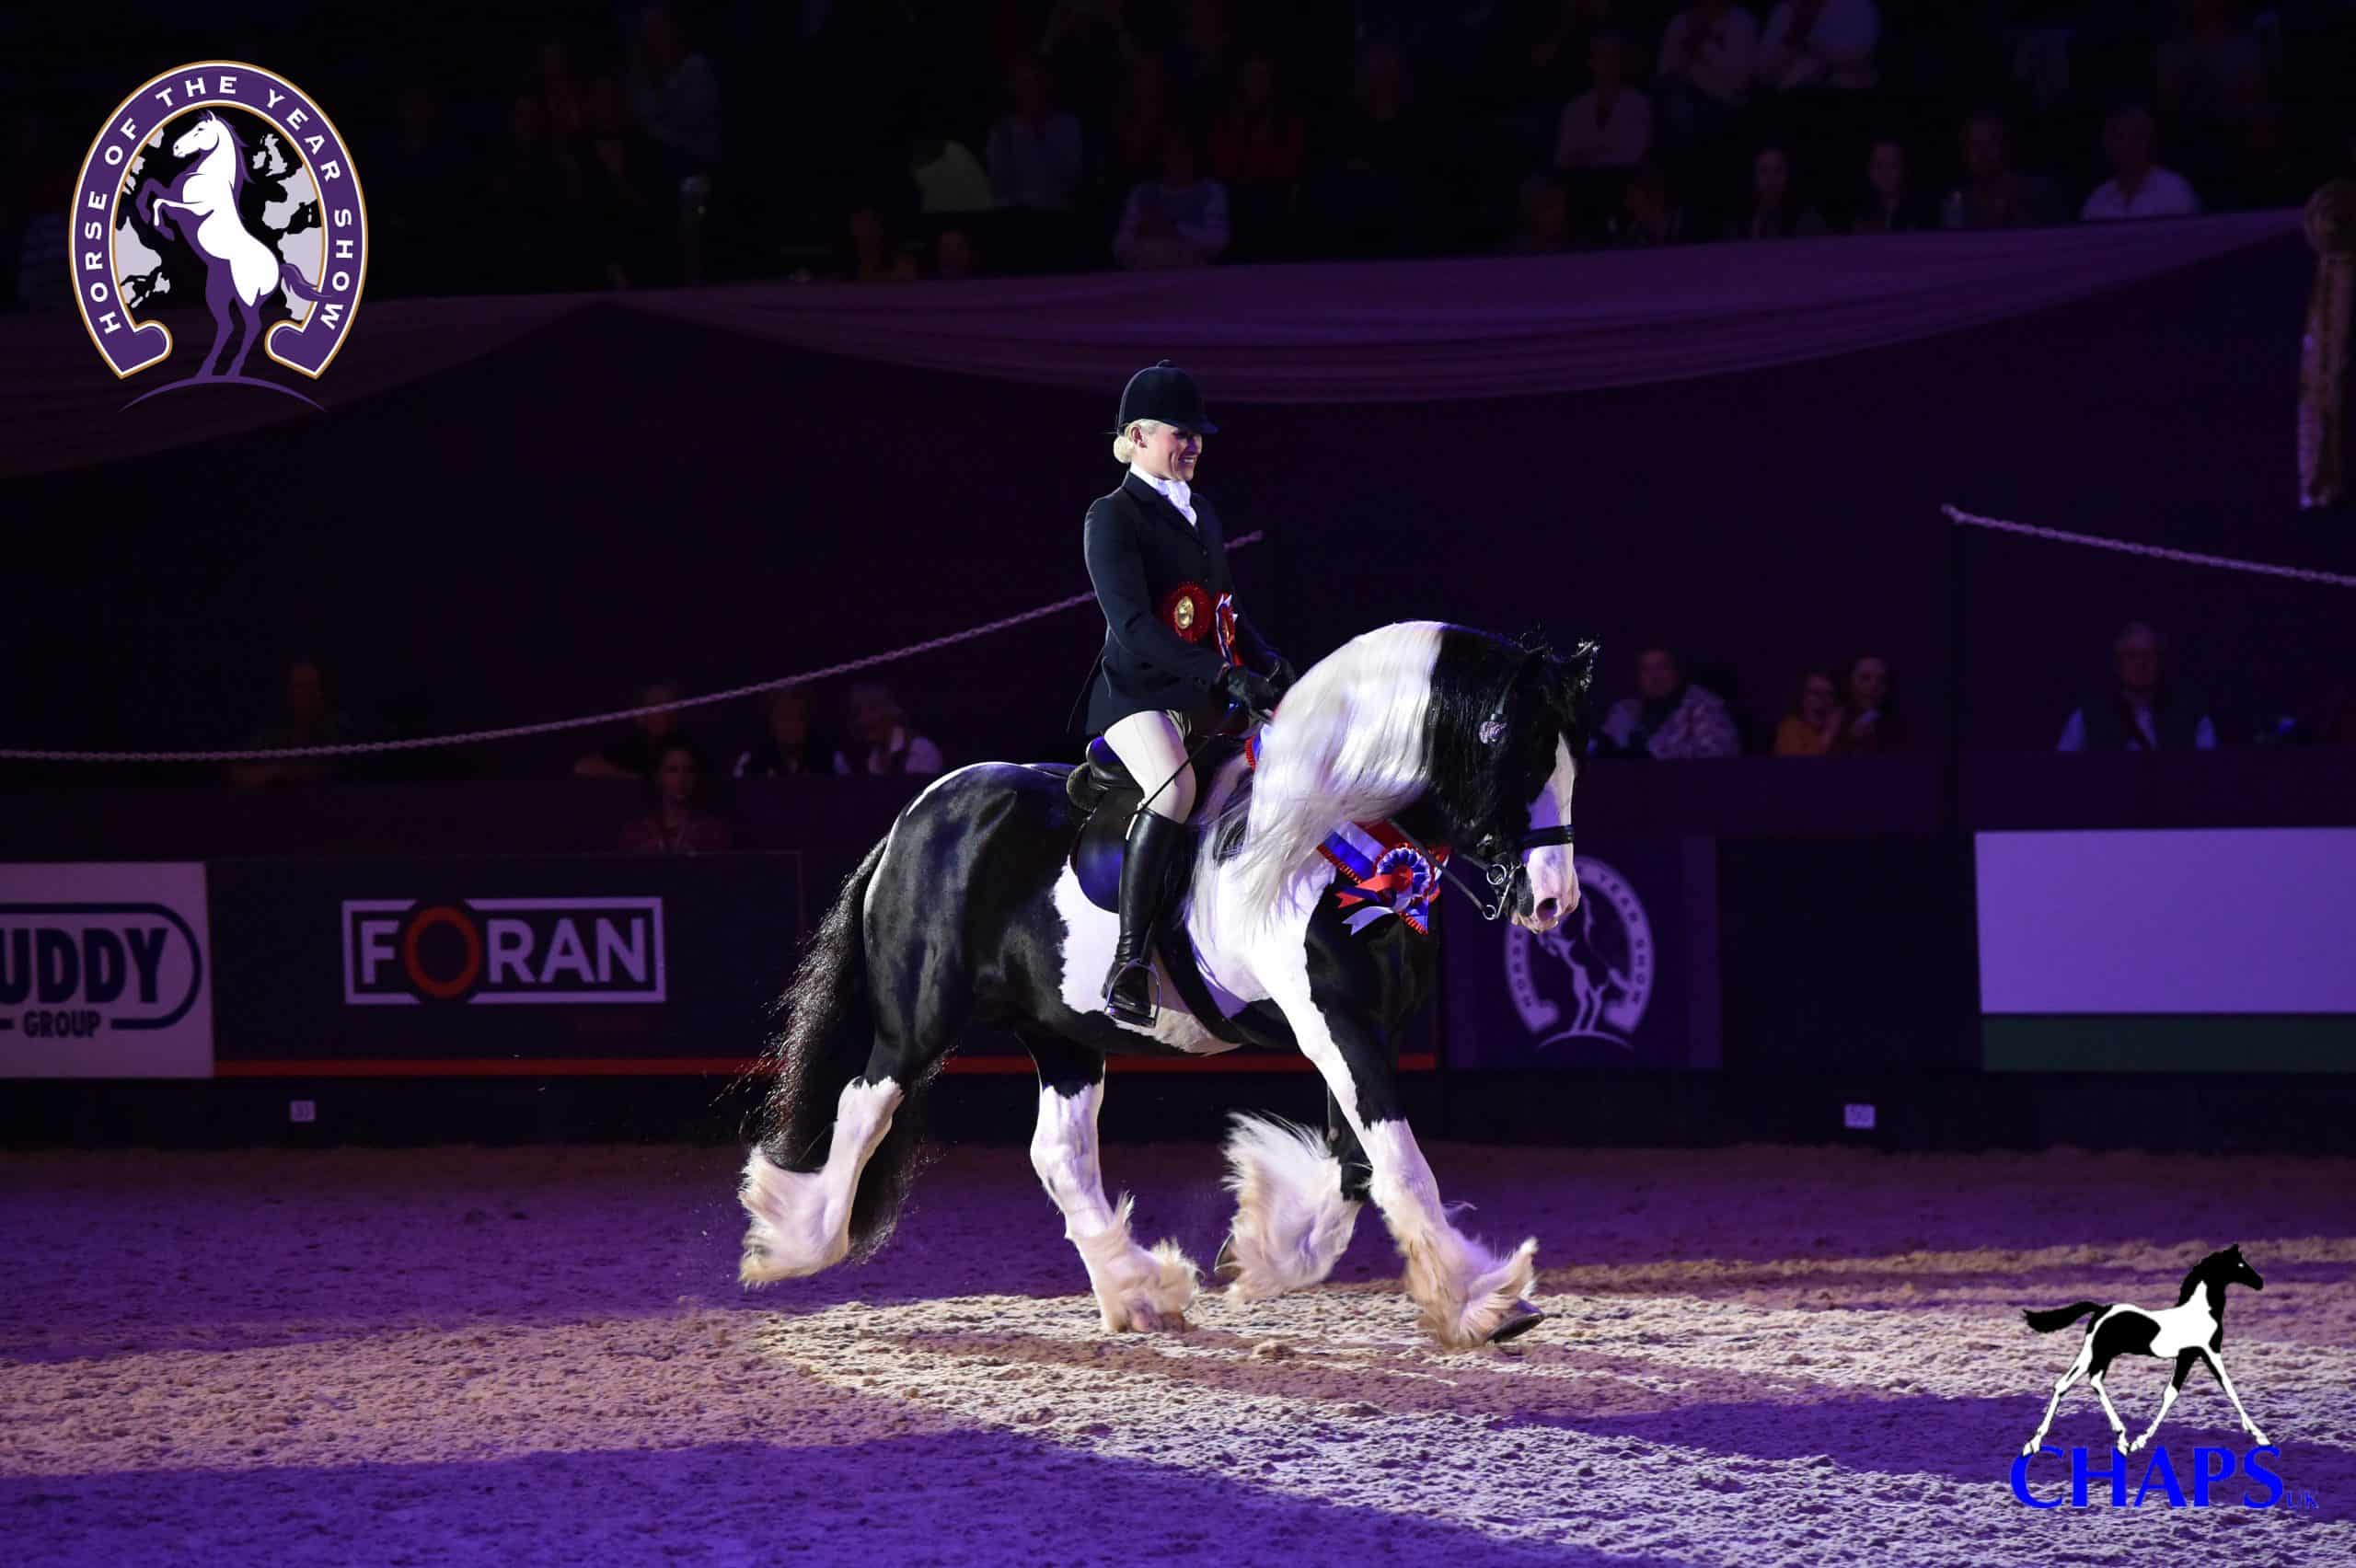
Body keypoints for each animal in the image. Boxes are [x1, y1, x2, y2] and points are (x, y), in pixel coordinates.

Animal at [127, 111, 325, 379]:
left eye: (200, 130)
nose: (176, 148)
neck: (208, 177)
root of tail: (277, 268)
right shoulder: (174, 195)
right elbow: (151, 186)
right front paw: (144, 213)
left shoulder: (193, 210)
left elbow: (161, 202)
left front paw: (163, 230)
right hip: (218, 293)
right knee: (226, 326)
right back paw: (207, 371)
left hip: (246, 299)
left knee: (252, 326)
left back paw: (232, 370)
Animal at [737, 621, 1597, 1349]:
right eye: (1521, 761)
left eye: (1571, 763)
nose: (1553, 902)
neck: (1334, 829)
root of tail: (914, 818)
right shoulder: (1331, 1022)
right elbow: (1399, 1163)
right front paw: (1482, 1301)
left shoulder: (1366, 1028)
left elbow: (1358, 1163)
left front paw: (1263, 1253)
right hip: (920, 1015)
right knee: (865, 1105)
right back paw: (794, 1242)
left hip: (1064, 1030)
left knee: (1059, 1154)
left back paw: (1139, 1293)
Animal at [2019, 1244, 2272, 1455]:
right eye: (2240, 1265)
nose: (2260, 1282)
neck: (2200, 1311)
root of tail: (2101, 1309)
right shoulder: (2205, 1352)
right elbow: (2224, 1388)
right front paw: (2260, 1436)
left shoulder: (2189, 1356)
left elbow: (2175, 1392)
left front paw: (2139, 1441)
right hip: (2100, 1353)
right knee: (2088, 1380)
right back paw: (2120, 1438)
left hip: (2093, 1353)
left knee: (2068, 1383)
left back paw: (2035, 1443)